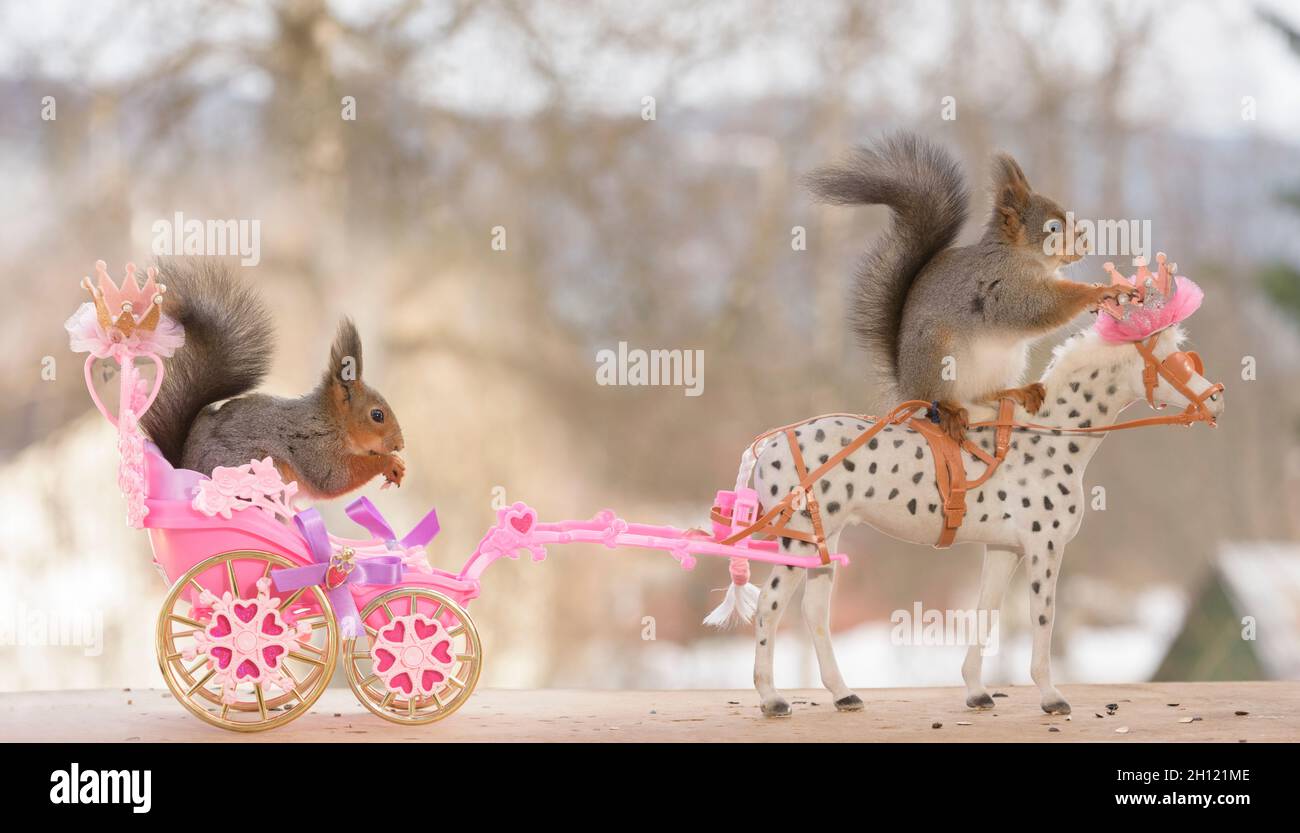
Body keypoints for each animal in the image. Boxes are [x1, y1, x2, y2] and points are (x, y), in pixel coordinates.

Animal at [139, 261, 406, 499]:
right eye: (377, 415)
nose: (400, 445)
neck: (332, 423)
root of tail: (182, 466)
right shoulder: (312, 447)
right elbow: (334, 479)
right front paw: (388, 462)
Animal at [807, 133, 1136, 440]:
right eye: (1053, 228)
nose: (1086, 244)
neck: (1021, 257)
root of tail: (907, 387)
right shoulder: (1000, 287)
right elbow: (1036, 307)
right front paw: (1098, 292)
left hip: (1006, 362)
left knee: (983, 395)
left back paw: (1016, 392)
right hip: (938, 352)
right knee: (937, 400)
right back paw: (950, 411)